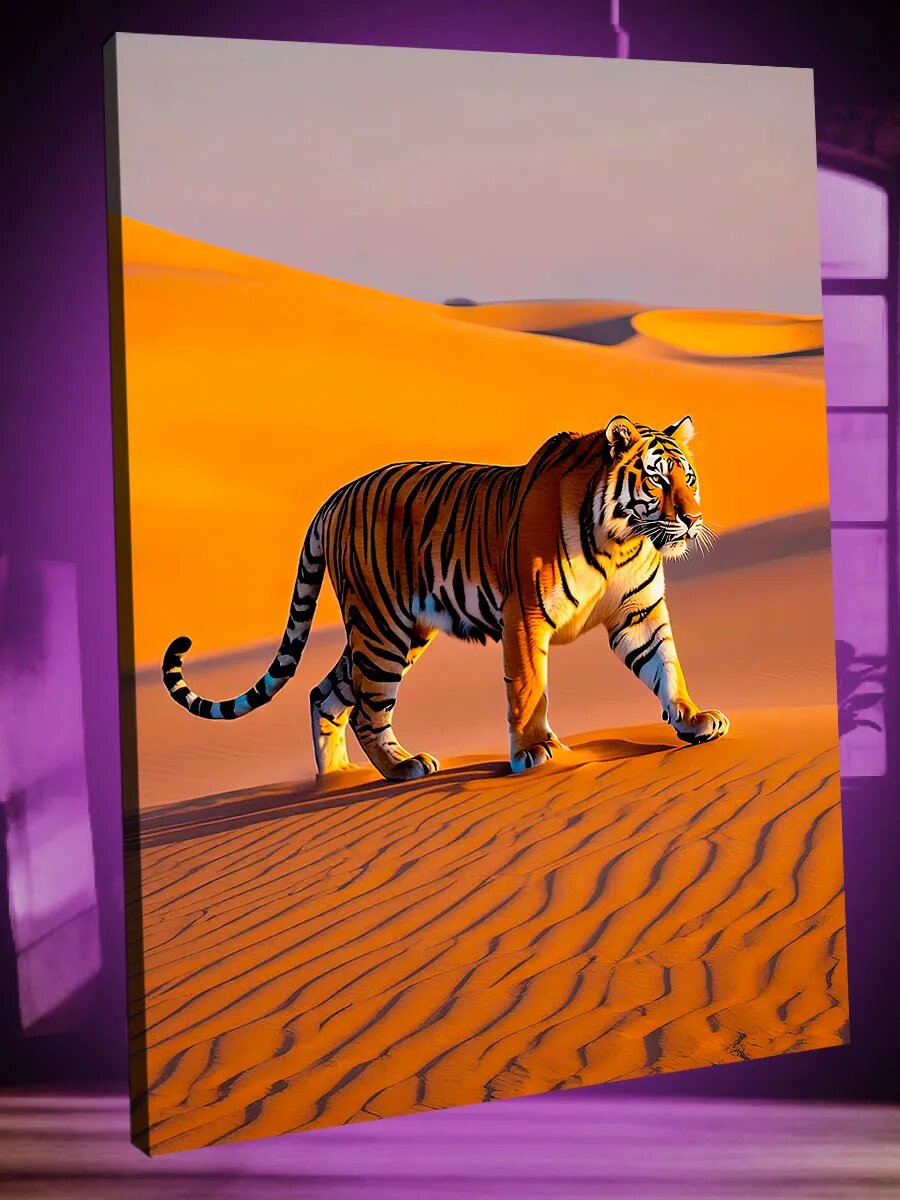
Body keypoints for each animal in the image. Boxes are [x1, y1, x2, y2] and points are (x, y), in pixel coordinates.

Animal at [162, 415, 729, 780]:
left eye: (689, 478)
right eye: (656, 481)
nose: (694, 517)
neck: (624, 540)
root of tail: (336, 496)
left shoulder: (639, 612)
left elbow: (666, 666)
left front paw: (693, 718)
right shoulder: (526, 614)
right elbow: (529, 688)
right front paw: (535, 750)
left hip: (399, 633)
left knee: (325, 693)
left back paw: (338, 776)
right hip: (381, 630)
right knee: (367, 709)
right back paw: (403, 766)